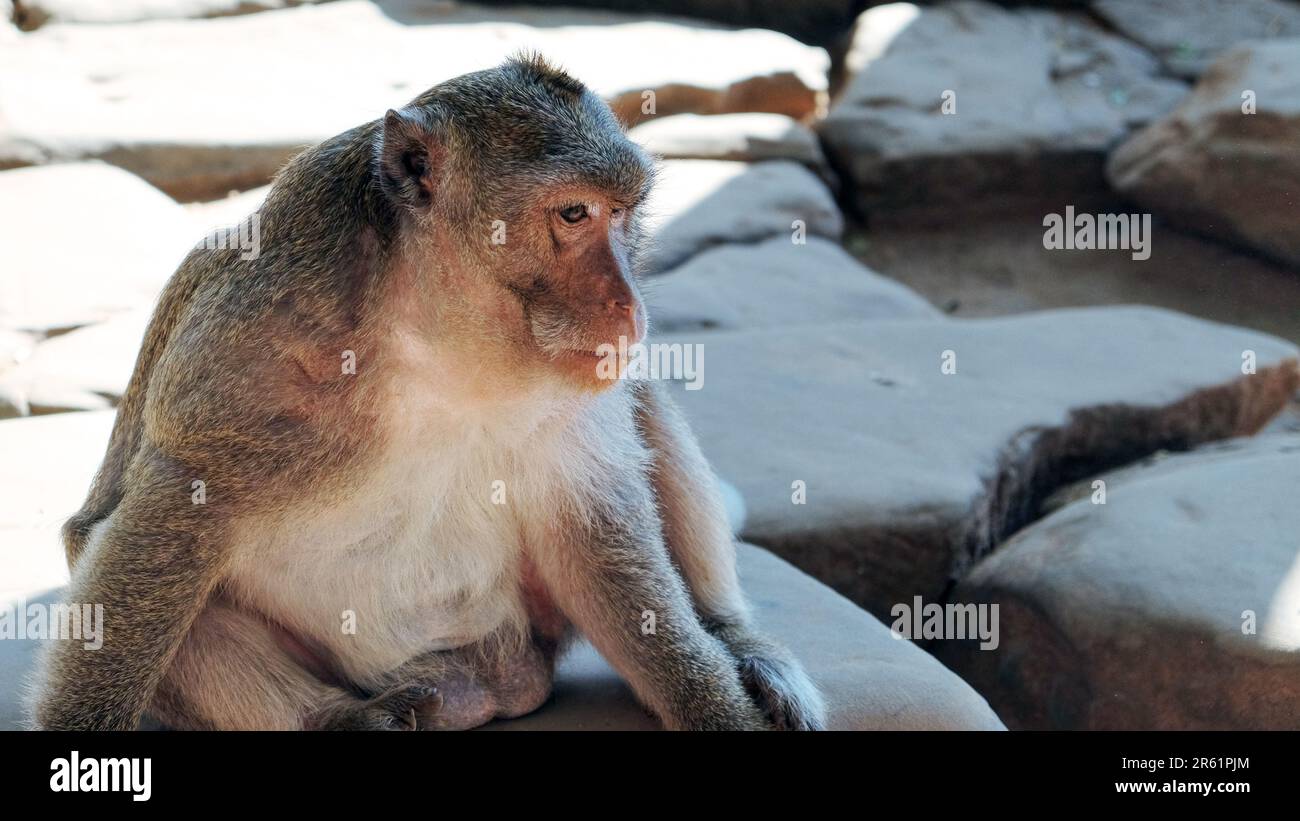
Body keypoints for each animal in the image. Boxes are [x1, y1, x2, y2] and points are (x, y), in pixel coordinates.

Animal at [29, 54, 826, 732]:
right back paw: (340, 720)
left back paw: (739, 640)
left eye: (623, 213)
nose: (628, 305)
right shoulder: (249, 347)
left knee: (644, 397)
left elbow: (595, 530)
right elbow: (177, 506)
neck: (436, 345)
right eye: (574, 214)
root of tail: (488, 681)